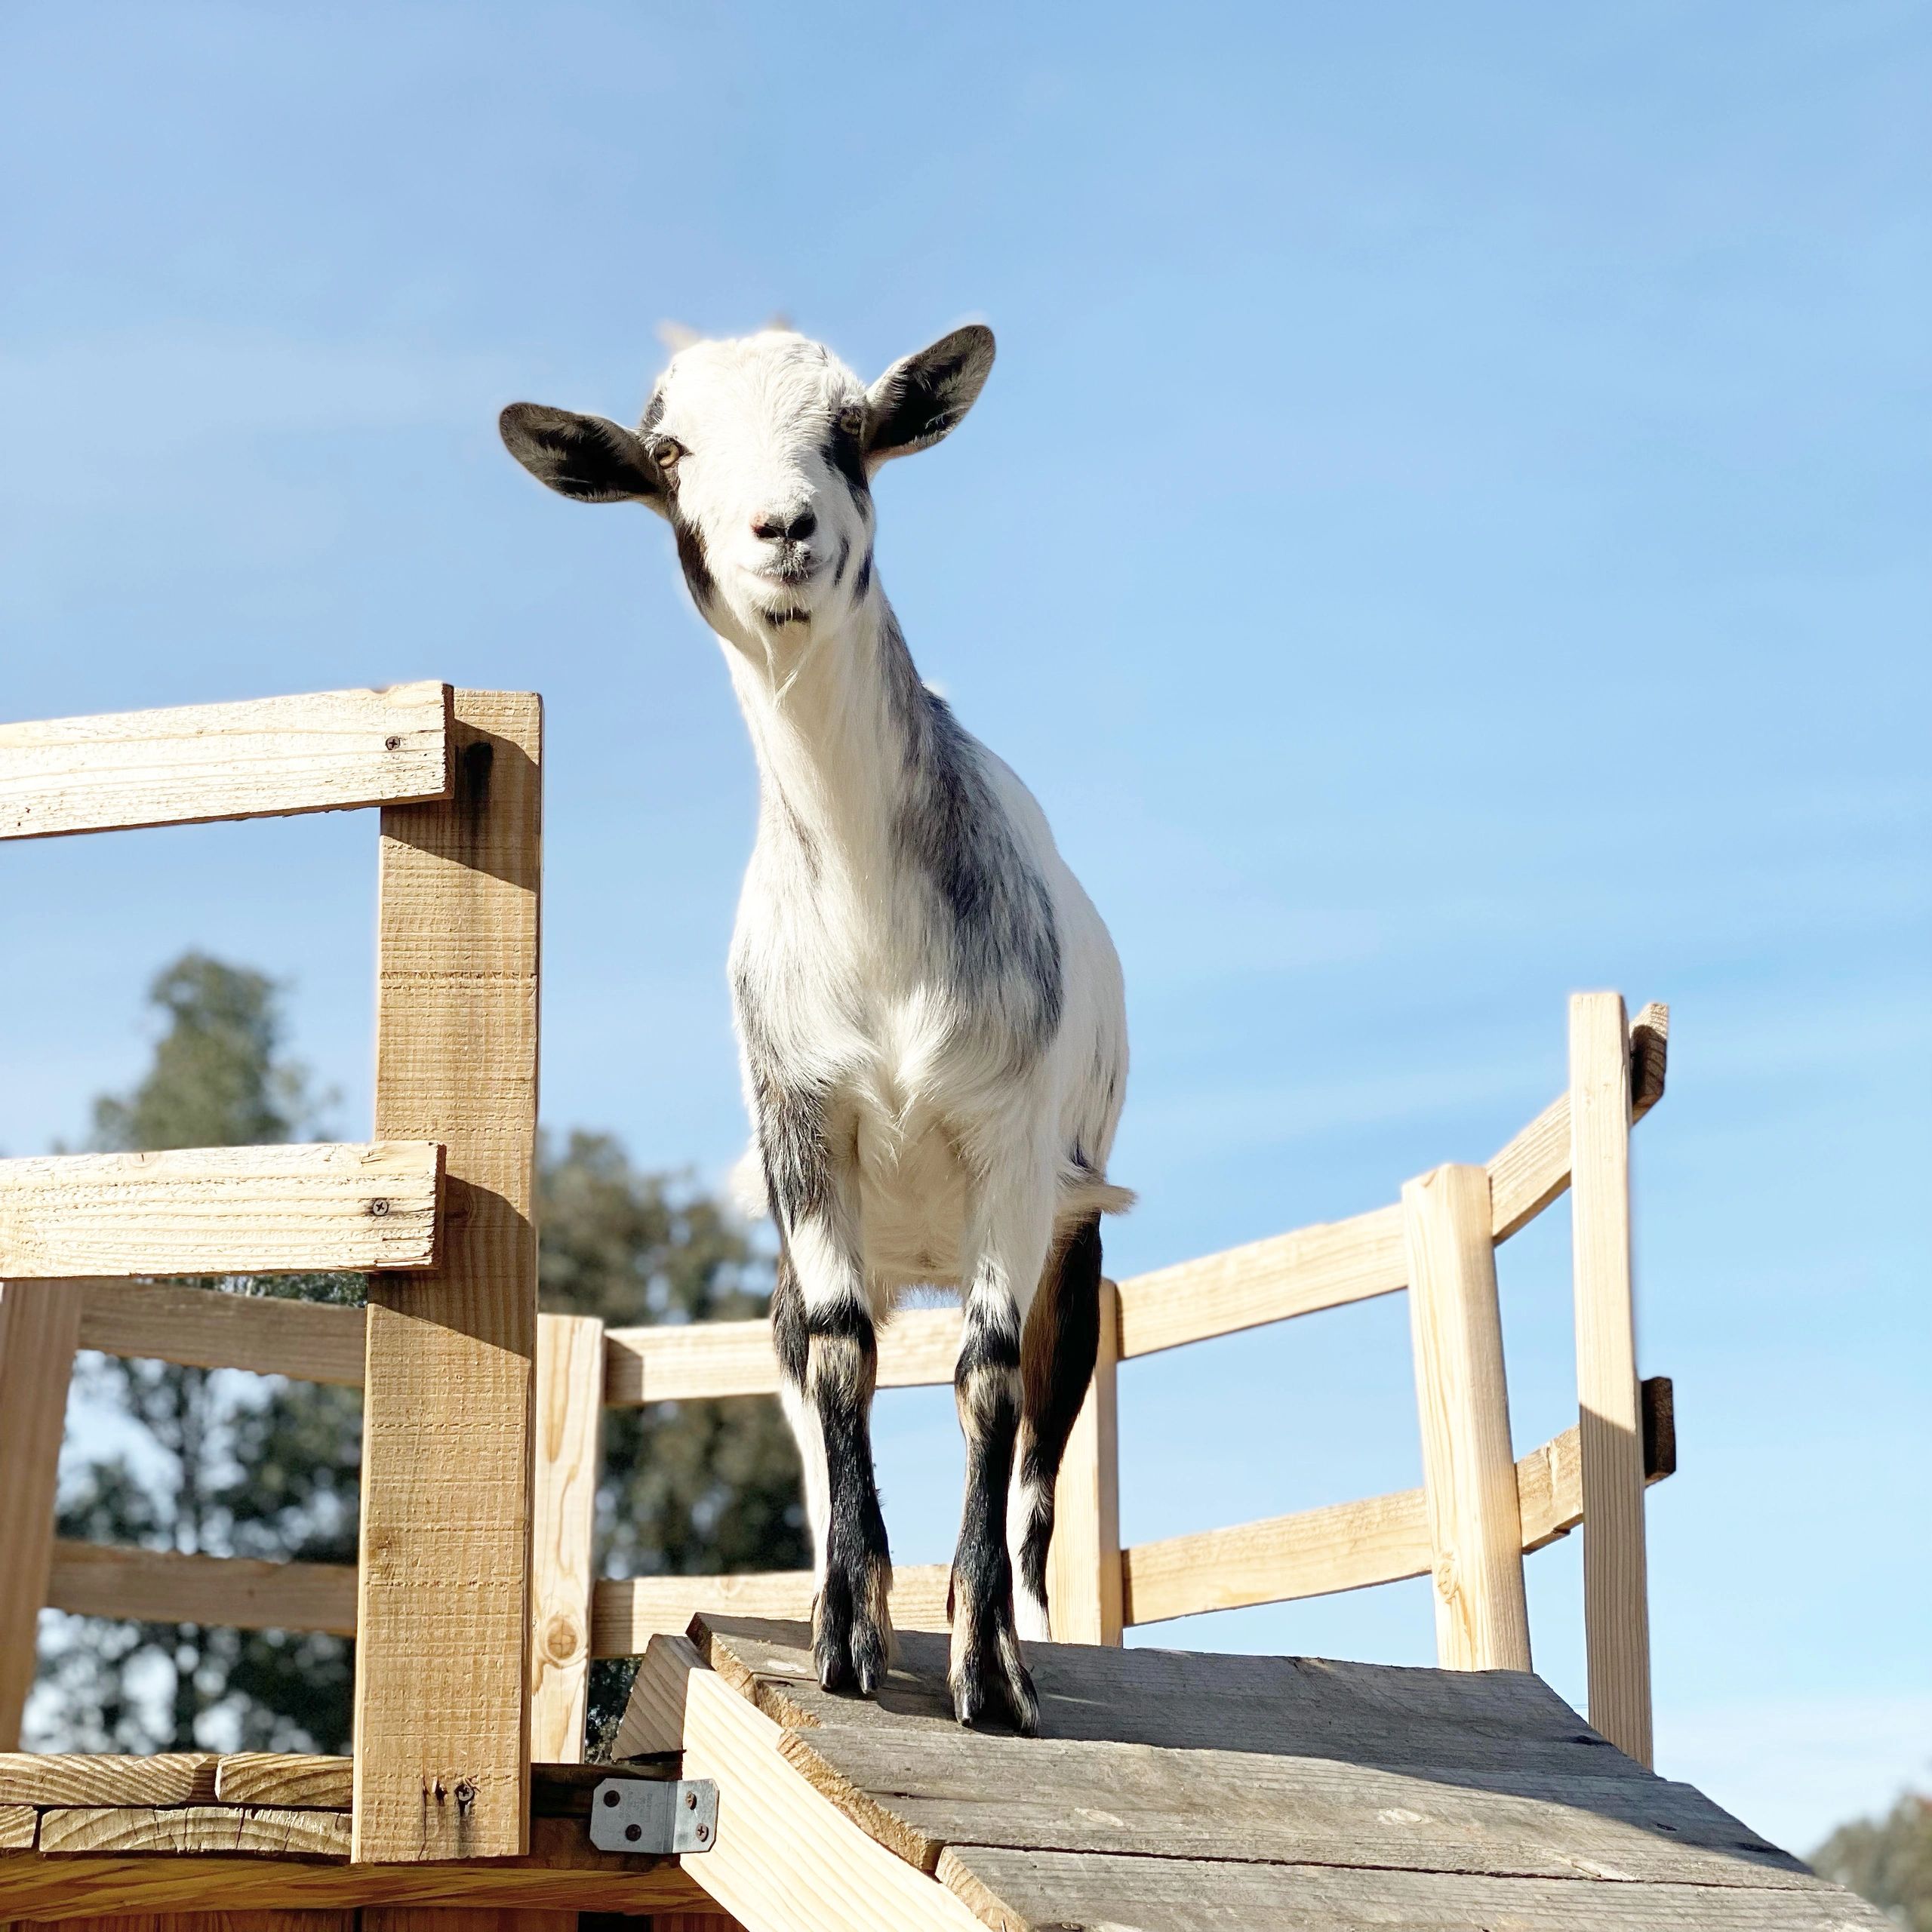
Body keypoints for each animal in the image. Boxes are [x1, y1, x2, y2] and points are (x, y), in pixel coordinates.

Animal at [500, 326, 1130, 1732]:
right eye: (670, 452)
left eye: (851, 429)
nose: (782, 528)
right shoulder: (799, 1124)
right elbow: (840, 1359)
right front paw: (847, 1636)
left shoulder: (1013, 1145)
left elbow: (987, 1376)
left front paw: (989, 1671)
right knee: (809, 1358)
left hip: (1077, 1233)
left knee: (1042, 1442)